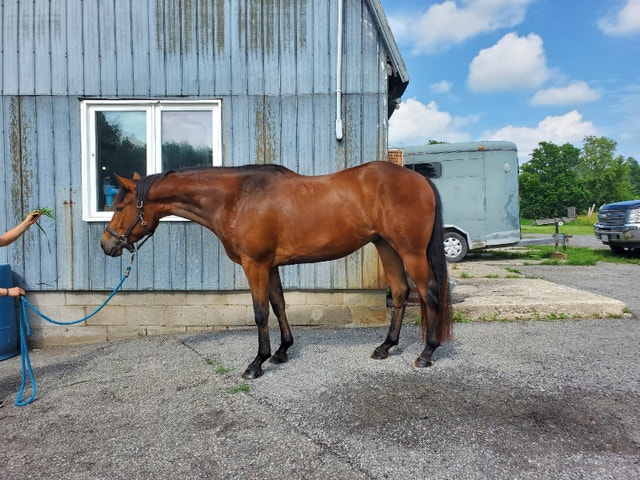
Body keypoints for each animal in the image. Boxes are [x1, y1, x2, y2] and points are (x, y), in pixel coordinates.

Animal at [101, 161, 452, 379]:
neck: (237, 198)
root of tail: (418, 179)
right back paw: (385, 347)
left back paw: (426, 353)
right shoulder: (269, 266)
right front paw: (282, 351)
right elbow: (279, 304)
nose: (107, 245)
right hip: (386, 246)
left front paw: (256, 363)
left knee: (430, 293)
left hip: (410, 251)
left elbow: (260, 313)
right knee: (401, 291)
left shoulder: (254, 264)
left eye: (119, 206)